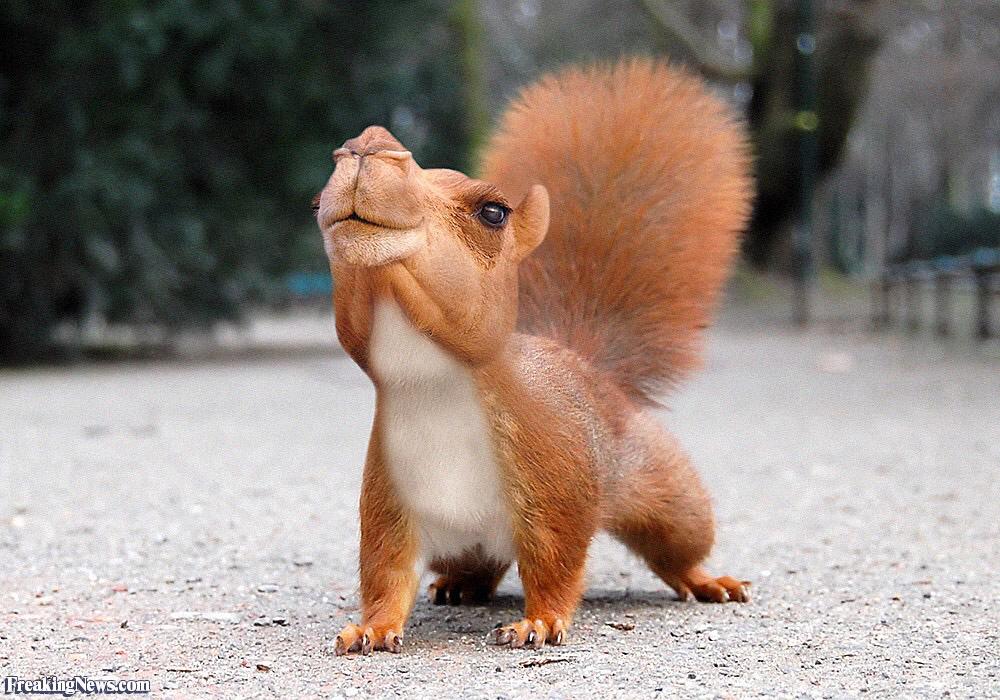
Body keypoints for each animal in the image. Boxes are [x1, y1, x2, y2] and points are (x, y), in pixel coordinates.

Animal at [315, 58, 753, 655]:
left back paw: (706, 579)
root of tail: (583, 363)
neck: (433, 384)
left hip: (666, 490)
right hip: (462, 541)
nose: (367, 145)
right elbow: (384, 570)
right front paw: (372, 627)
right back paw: (458, 586)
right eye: (315, 206)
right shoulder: (389, 494)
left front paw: (539, 622)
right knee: (478, 565)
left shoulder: (554, 475)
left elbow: (555, 561)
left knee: (678, 545)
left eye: (494, 212)